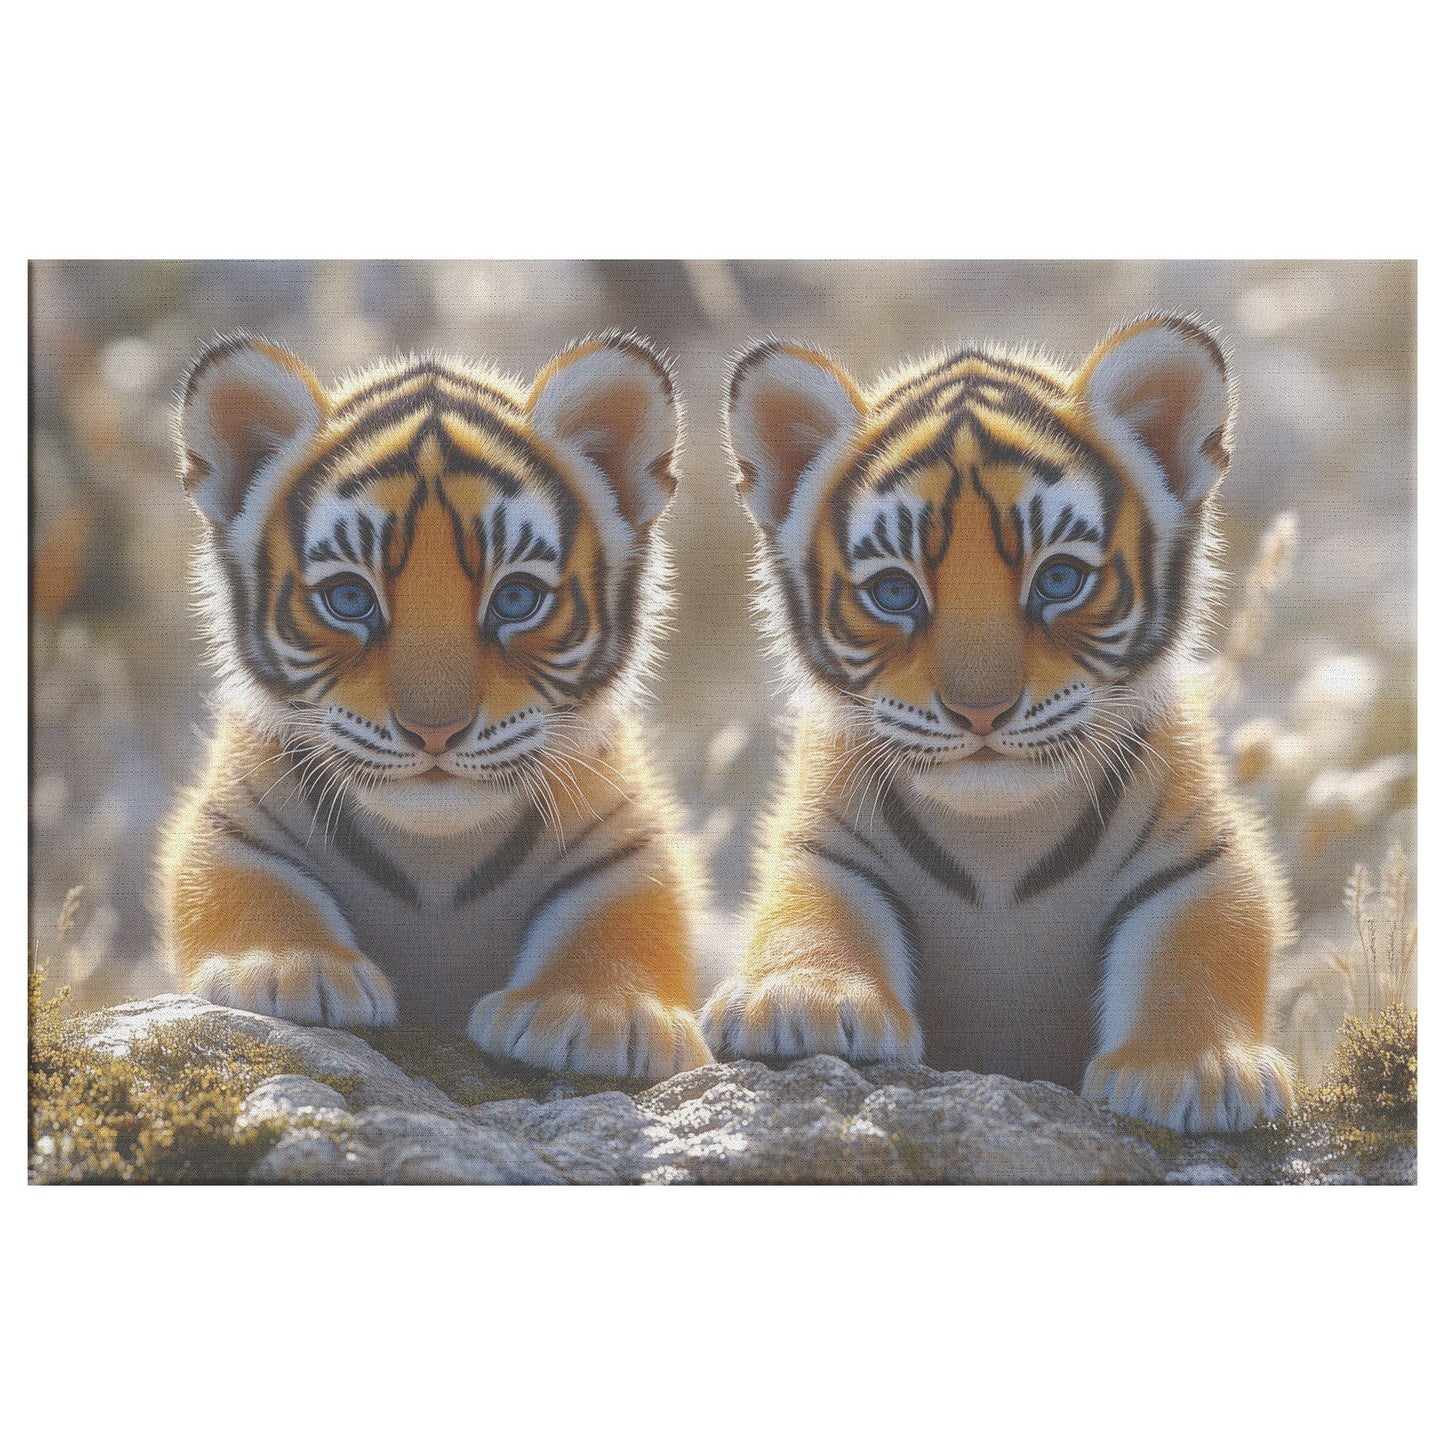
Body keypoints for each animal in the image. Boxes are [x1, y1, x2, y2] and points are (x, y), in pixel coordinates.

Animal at [156, 331, 712, 1081]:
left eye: (515, 599)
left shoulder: (627, 829)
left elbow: (627, 908)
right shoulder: (230, 815)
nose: (434, 732)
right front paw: (289, 968)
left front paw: (598, 1012)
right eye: (349, 599)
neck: (435, 860)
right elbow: (243, 883)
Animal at [700, 315, 1296, 1132]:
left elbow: (1204, 935)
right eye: (895, 591)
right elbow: (812, 905)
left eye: (1059, 579)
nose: (980, 710)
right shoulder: (824, 837)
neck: (998, 844)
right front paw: (800, 999)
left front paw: (1196, 1071)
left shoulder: (1201, 850)